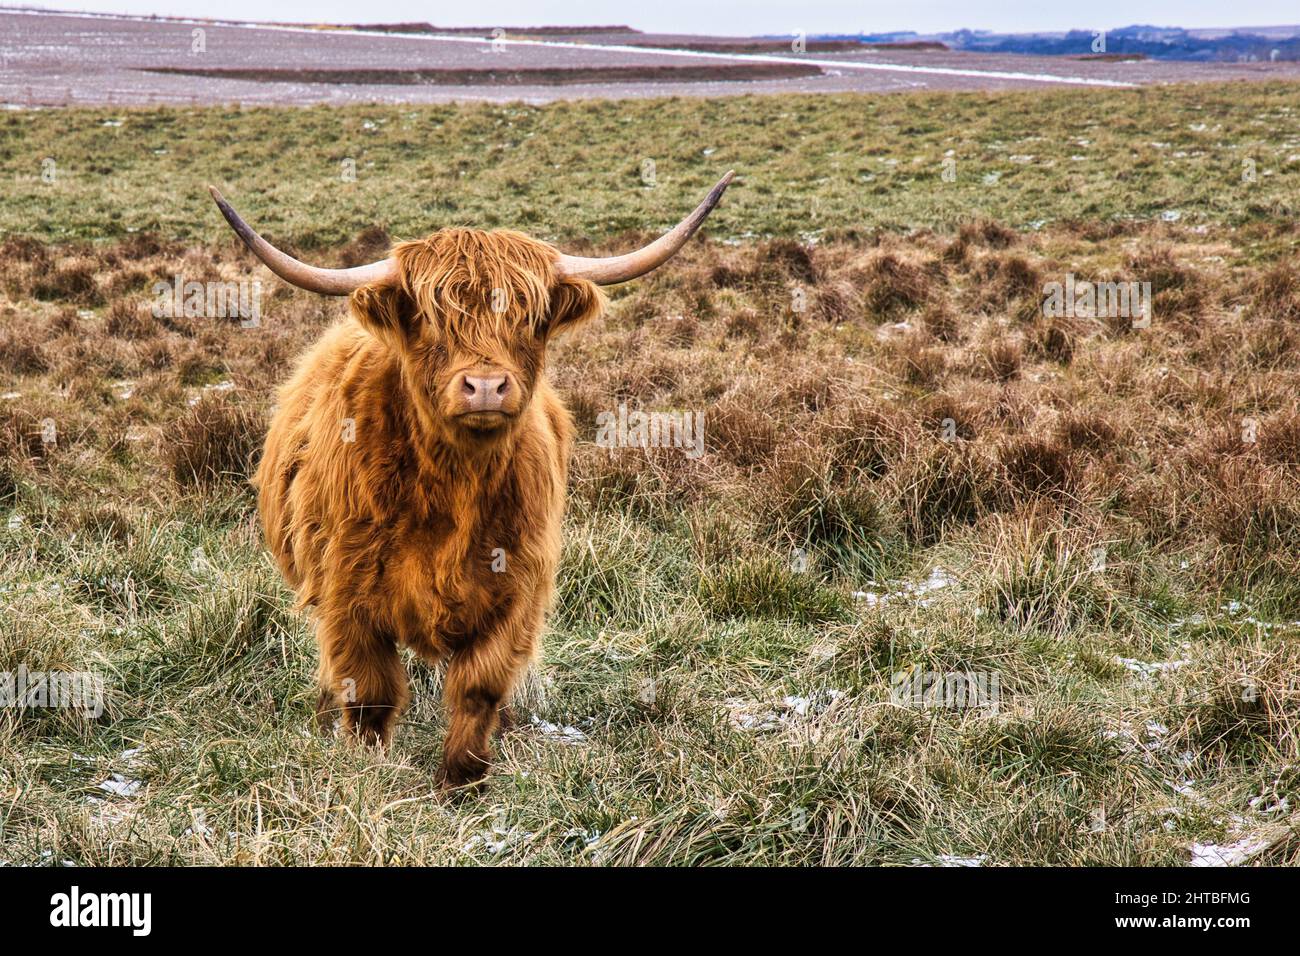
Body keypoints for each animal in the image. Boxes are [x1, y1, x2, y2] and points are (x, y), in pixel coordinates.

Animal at [209, 173, 733, 789]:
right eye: (432, 319)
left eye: (529, 318)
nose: (485, 387)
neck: (452, 488)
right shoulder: (346, 592)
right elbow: (369, 692)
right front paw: (366, 770)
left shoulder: (518, 589)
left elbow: (479, 687)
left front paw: (460, 783)